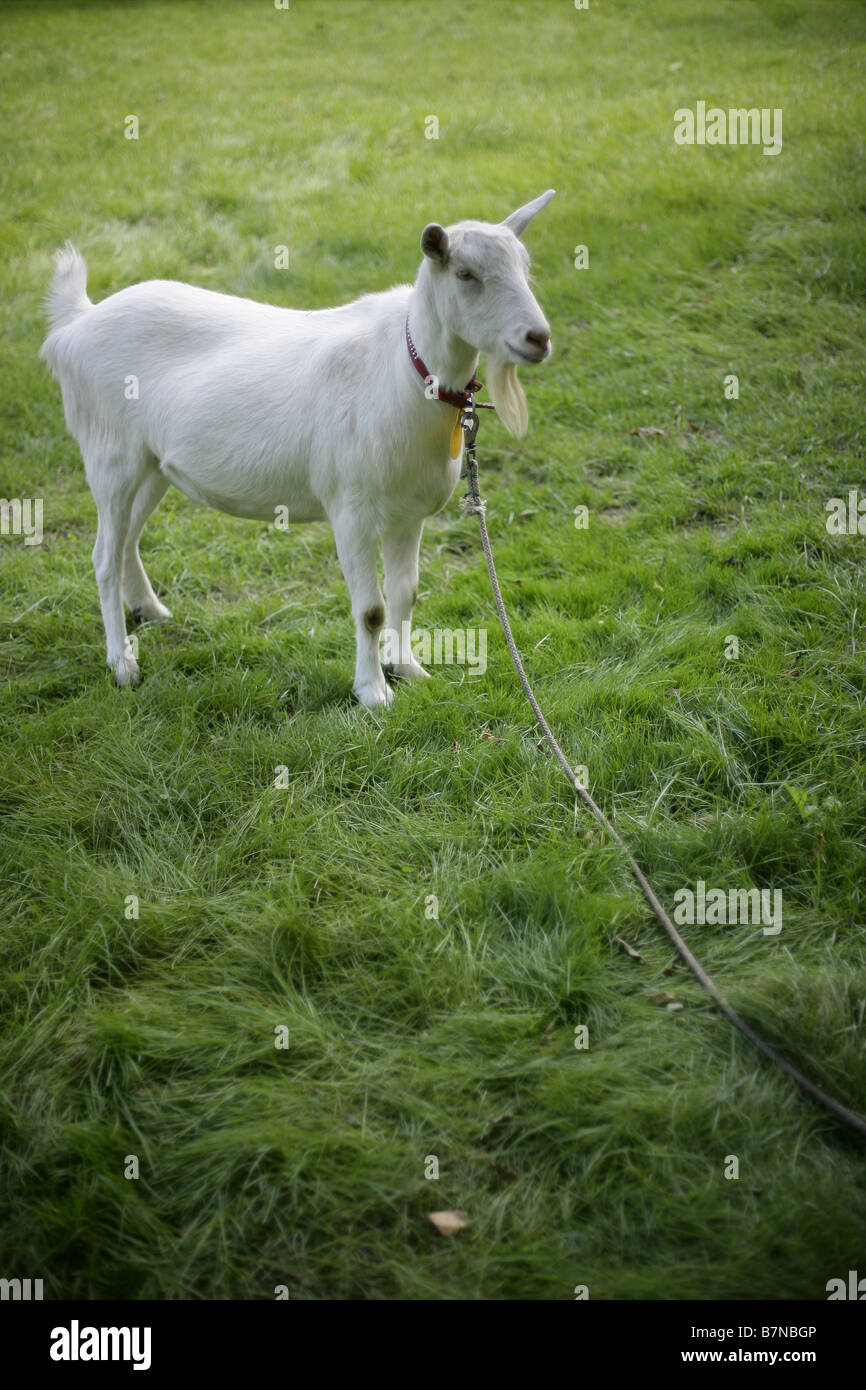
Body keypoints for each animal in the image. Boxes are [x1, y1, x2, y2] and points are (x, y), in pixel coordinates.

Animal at [40, 191, 555, 707]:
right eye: (465, 274)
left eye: (526, 267)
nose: (538, 337)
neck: (402, 371)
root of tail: (75, 324)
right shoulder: (352, 511)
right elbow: (371, 609)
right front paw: (373, 693)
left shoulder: (407, 514)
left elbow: (405, 593)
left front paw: (407, 669)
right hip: (110, 454)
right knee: (103, 558)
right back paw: (122, 663)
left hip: (152, 465)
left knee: (127, 538)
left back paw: (149, 610)